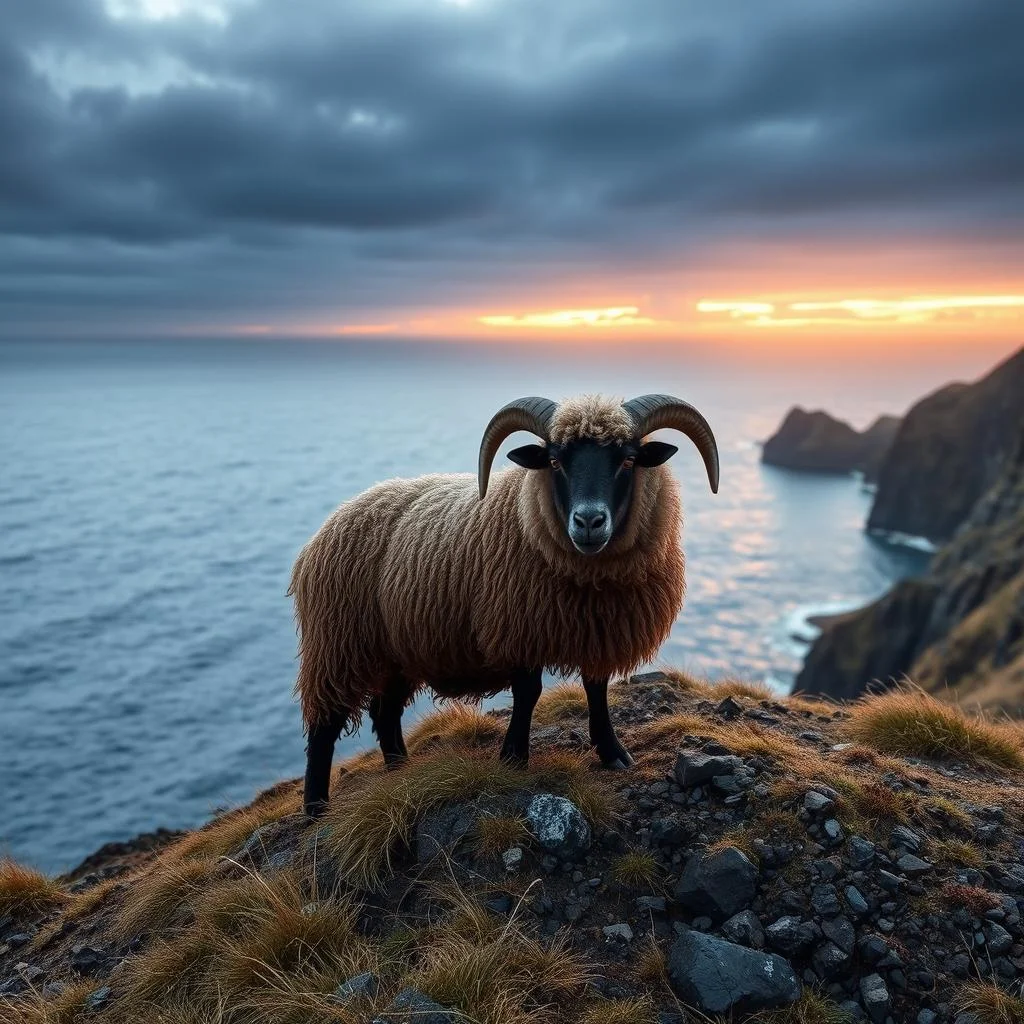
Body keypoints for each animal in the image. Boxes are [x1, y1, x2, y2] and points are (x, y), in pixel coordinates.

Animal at [290, 393, 719, 815]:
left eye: (628, 460)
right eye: (555, 461)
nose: (588, 522)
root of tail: (331, 522)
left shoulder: (596, 633)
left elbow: (596, 689)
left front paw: (612, 751)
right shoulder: (518, 629)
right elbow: (528, 693)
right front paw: (513, 757)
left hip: (397, 650)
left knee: (386, 712)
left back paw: (400, 769)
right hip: (338, 645)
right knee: (325, 727)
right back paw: (316, 807)